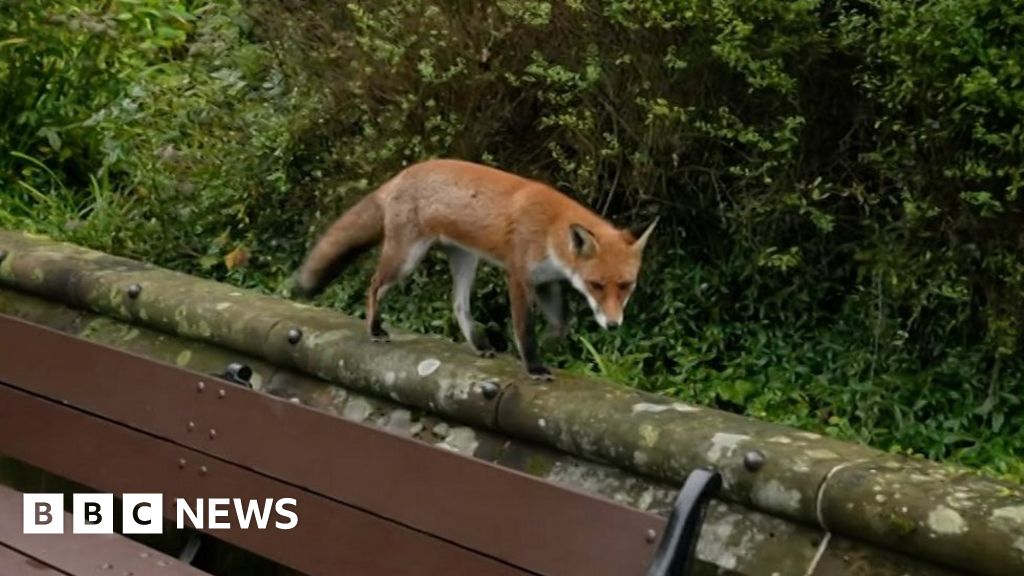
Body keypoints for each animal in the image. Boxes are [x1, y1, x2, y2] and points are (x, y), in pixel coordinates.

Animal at [293, 159, 658, 379]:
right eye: (597, 285)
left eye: (626, 285)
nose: (613, 325)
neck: (549, 229)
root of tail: (403, 174)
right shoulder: (519, 276)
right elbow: (524, 328)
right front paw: (534, 365)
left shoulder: (547, 281)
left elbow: (560, 325)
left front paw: (550, 346)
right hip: (405, 260)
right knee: (374, 284)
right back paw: (374, 329)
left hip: (466, 261)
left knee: (458, 306)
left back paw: (480, 345)